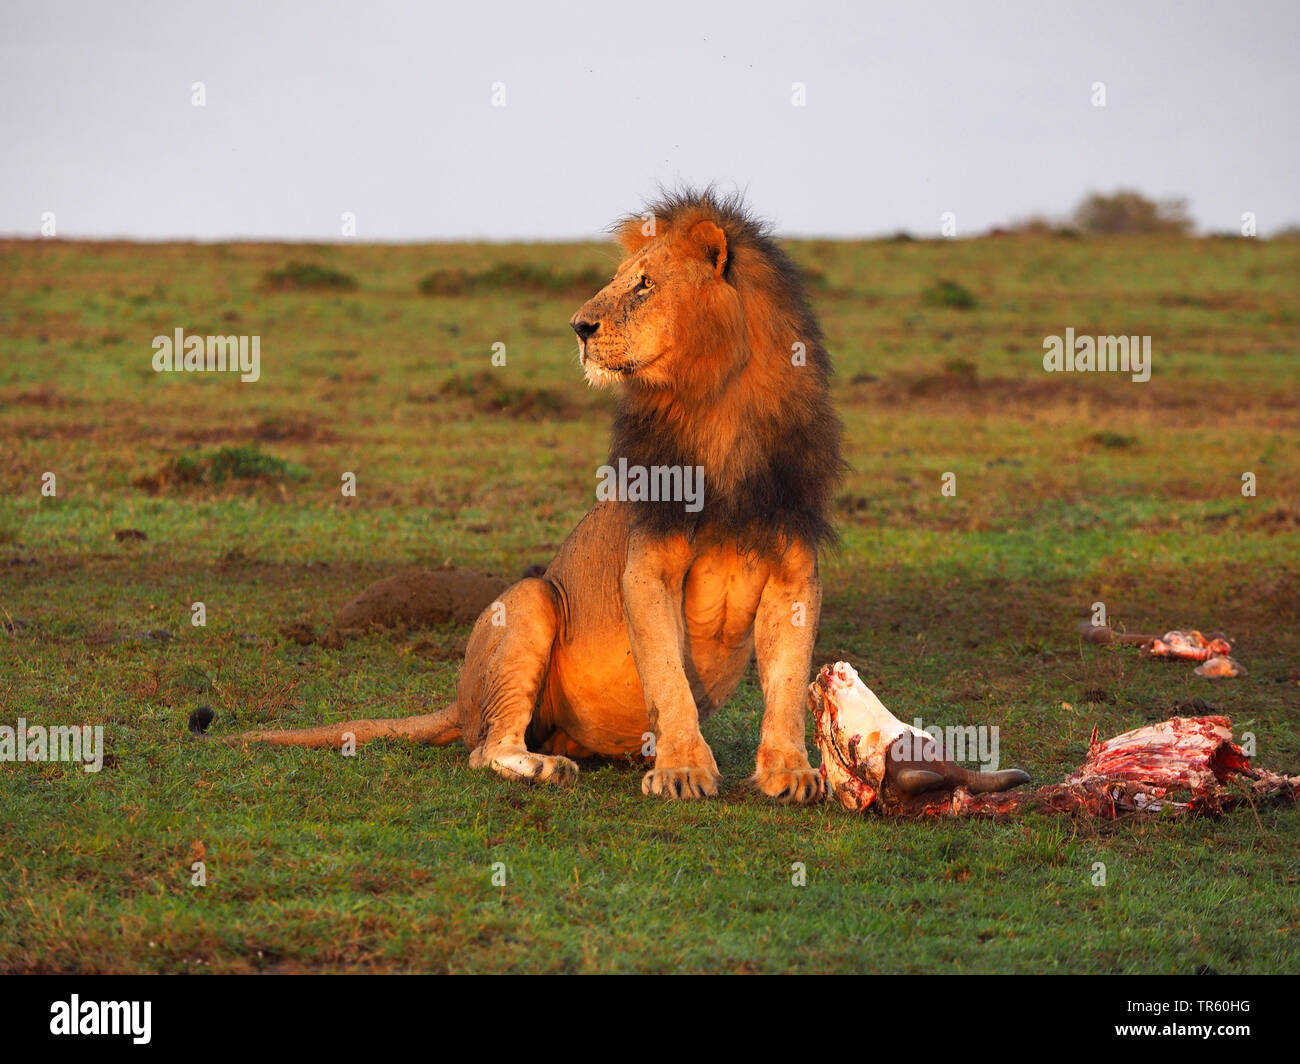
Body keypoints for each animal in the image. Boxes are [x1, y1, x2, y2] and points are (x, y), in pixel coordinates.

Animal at [226, 189, 845, 802]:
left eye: (645, 284)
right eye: (621, 279)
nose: (579, 326)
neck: (723, 411)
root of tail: (459, 699)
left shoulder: (795, 571)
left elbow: (788, 683)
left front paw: (790, 772)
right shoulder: (648, 565)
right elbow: (669, 680)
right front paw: (682, 770)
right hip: (532, 598)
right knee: (486, 748)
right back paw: (544, 767)